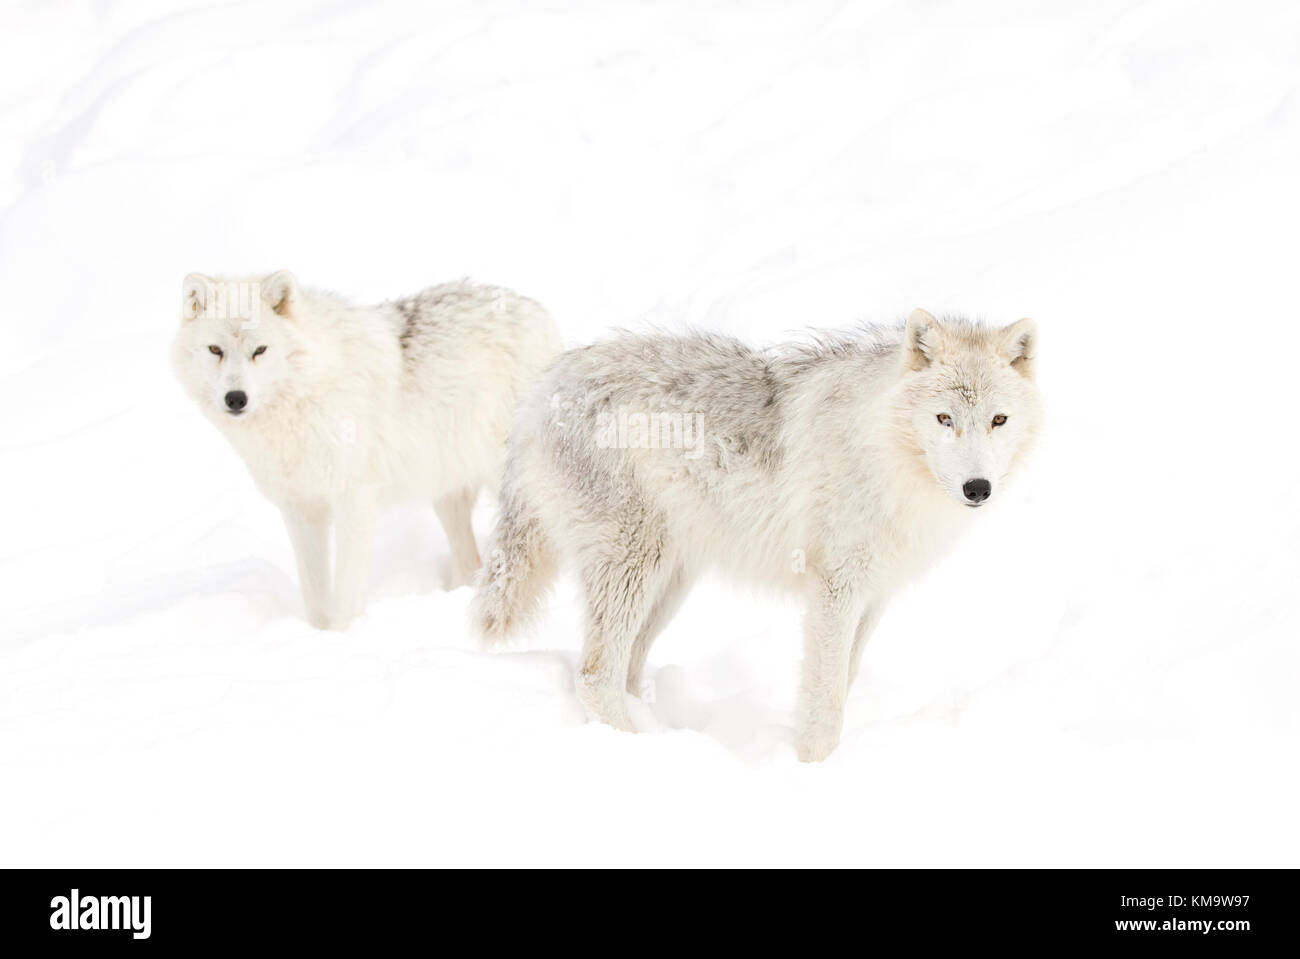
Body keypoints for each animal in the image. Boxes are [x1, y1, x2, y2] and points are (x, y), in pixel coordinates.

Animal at [173, 271, 560, 630]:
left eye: (260, 350)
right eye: (215, 350)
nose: (235, 399)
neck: (306, 394)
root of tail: (538, 313)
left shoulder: (354, 501)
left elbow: (345, 590)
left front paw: (343, 636)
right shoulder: (300, 509)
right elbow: (314, 593)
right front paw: (317, 635)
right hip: (446, 493)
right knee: (470, 564)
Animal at [472, 310, 1041, 761]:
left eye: (998, 420)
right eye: (944, 418)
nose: (977, 488)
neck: (887, 456)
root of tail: (542, 389)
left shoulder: (873, 597)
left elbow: (844, 683)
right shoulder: (834, 592)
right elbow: (823, 701)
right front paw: (813, 767)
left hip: (668, 584)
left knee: (627, 670)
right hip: (633, 566)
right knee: (594, 676)